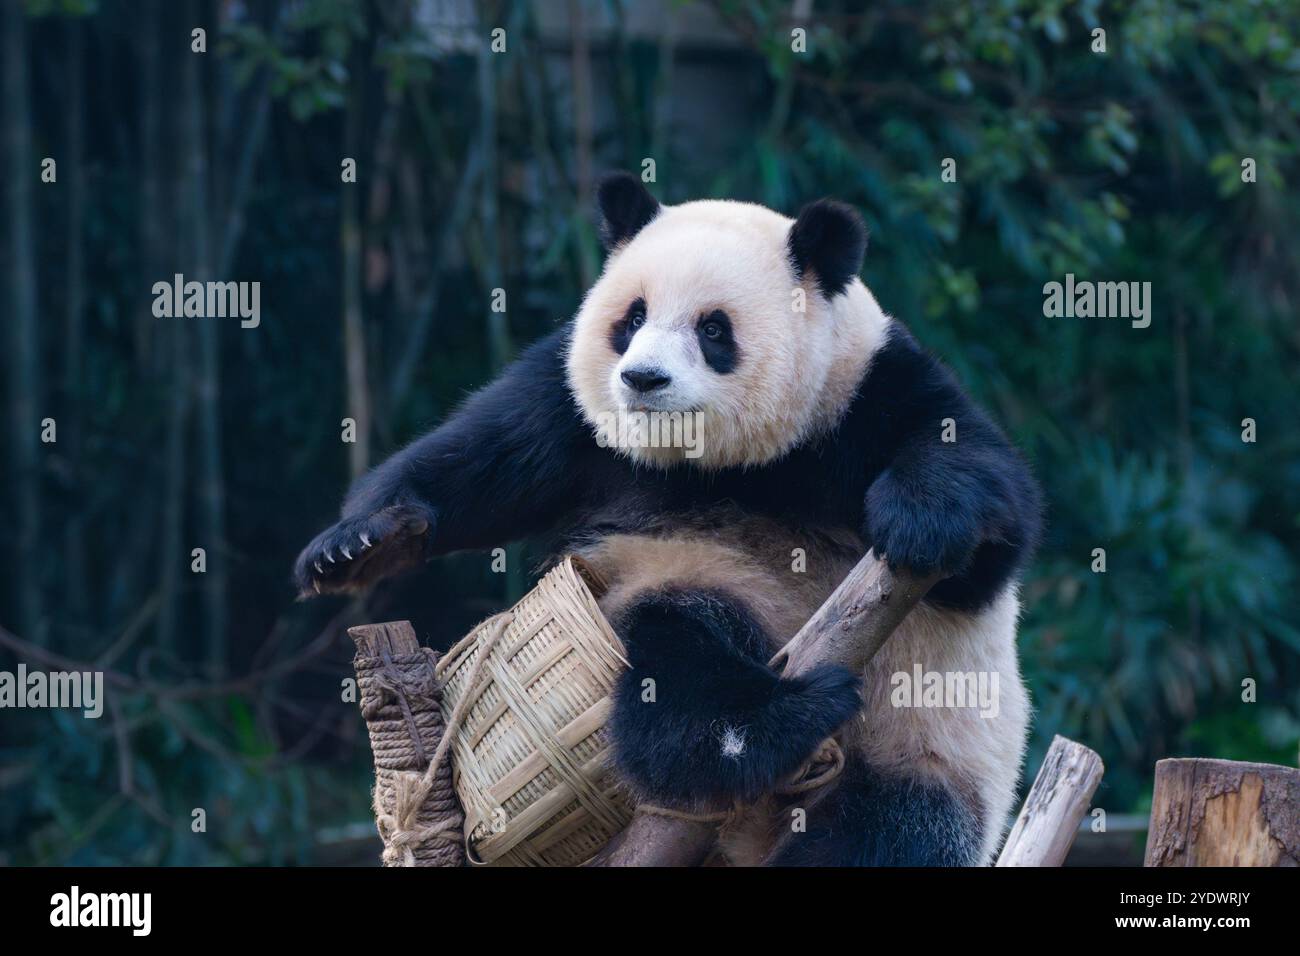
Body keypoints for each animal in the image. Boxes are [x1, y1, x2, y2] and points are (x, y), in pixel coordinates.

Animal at [295, 173, 1042, 866]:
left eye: (714, 329)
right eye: (632, 318)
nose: (643, 379)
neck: (720, 466)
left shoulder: (864, 389)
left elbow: (980, 494)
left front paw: (919, 521)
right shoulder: (571, 408)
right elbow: (482, 459)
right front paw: (359, 545)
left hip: (922, 752)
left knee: (891, 832)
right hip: (697, 578)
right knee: (680, 648)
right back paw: (769, 725)